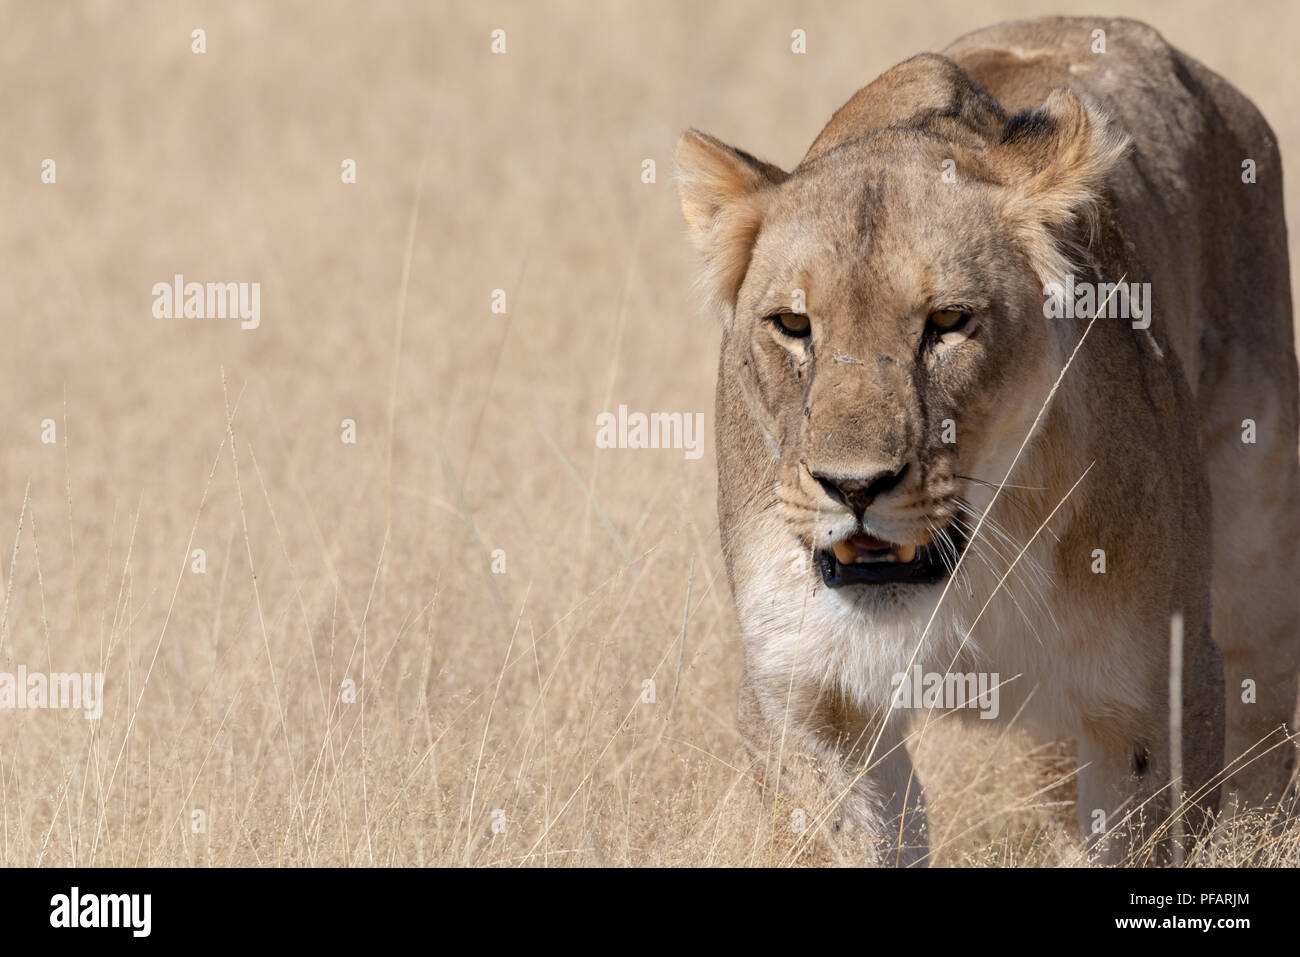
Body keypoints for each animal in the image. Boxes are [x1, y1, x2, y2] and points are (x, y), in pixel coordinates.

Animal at [676, 16, 1299, 865]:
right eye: (794, 325)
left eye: (948, 322)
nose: (853, 486)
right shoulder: (803, 696)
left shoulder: (1156, 691)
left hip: (1261, 577)